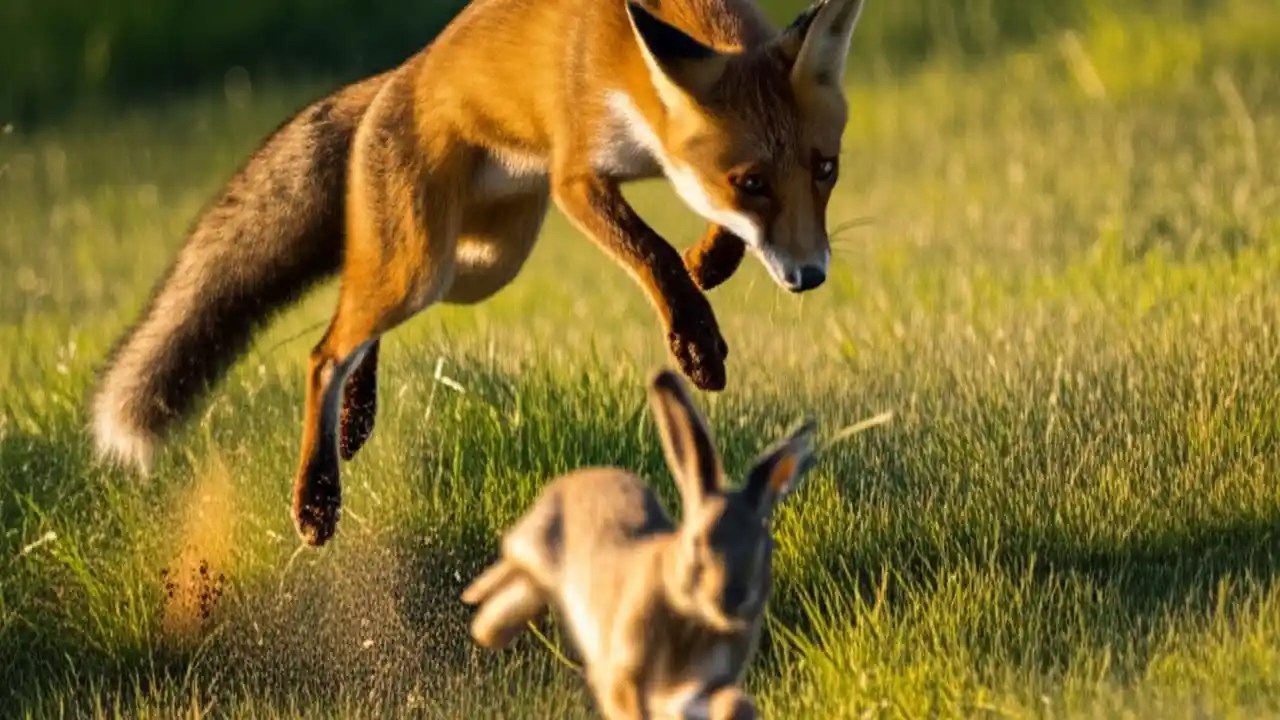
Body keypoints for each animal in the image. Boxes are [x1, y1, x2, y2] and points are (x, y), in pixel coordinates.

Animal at [91, 0, 868, 546]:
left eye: (827, 168)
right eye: (751, 181)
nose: (809, 276)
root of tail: (402, 73)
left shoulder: (662, 173)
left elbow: (706, 243)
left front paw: (711, 262)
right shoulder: (576, 176)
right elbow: (653, 252)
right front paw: (697, 342)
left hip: (481, 264)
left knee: (352, 309)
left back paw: (356, 414)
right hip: (425, 263)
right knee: (324, 349)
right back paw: (316, 496)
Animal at [461, 369, 817, 720]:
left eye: (765, 547)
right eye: (697, 542)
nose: (731, 598)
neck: (691, 613)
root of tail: (579, 478)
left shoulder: (694, 688)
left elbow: (724, 703)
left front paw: (738, 709)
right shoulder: (626, 671)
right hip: (536, 546)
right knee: (509, 566)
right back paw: (475, 596)